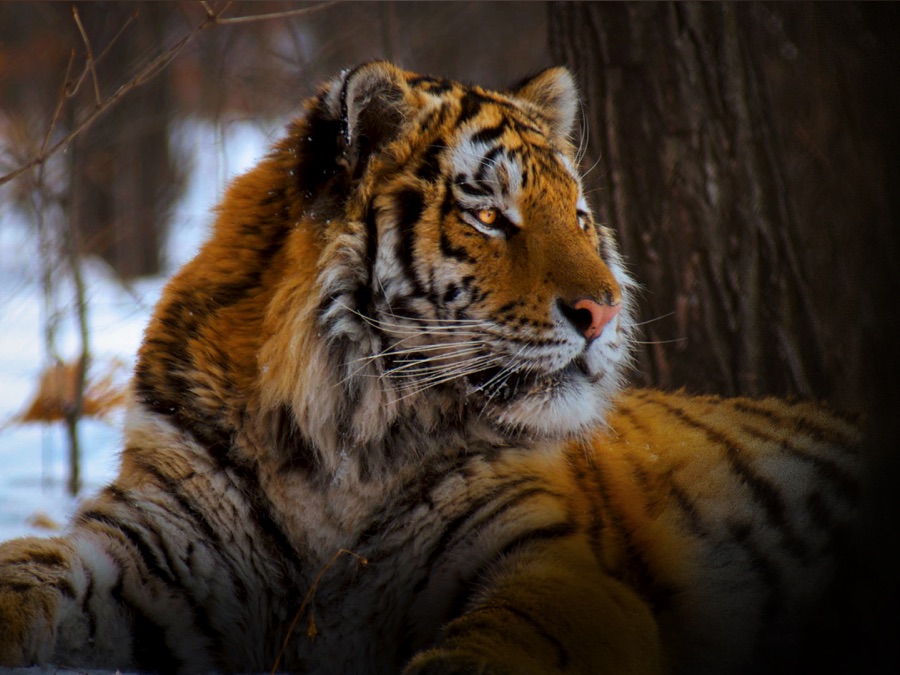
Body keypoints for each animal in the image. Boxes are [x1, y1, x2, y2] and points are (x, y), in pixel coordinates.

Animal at [0, 62, 862, 674]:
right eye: (489, 215)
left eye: (581, 216)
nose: (607, 310)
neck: (338, 448)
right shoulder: (146, 548)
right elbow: (26, 571)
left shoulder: (557, 569)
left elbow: (492, 648)